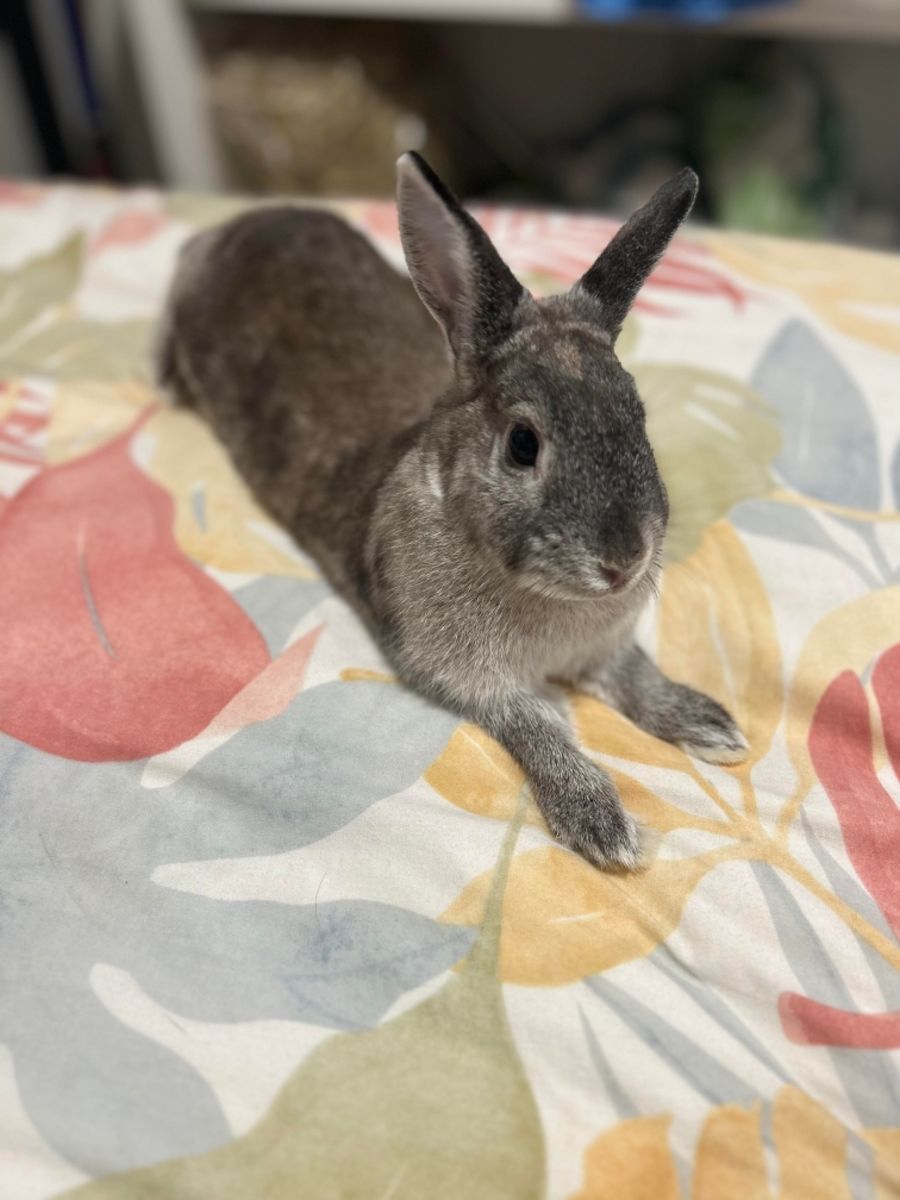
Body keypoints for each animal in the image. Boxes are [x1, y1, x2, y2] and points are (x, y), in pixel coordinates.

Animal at [158, 153, 748, 870]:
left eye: (639, 418)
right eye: (523, 444)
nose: (624, 563)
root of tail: (241, 225)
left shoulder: (604, 650)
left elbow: (636, 676)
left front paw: (706, 723)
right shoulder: (470, 681)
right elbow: (540, 728)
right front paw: (601, 826)